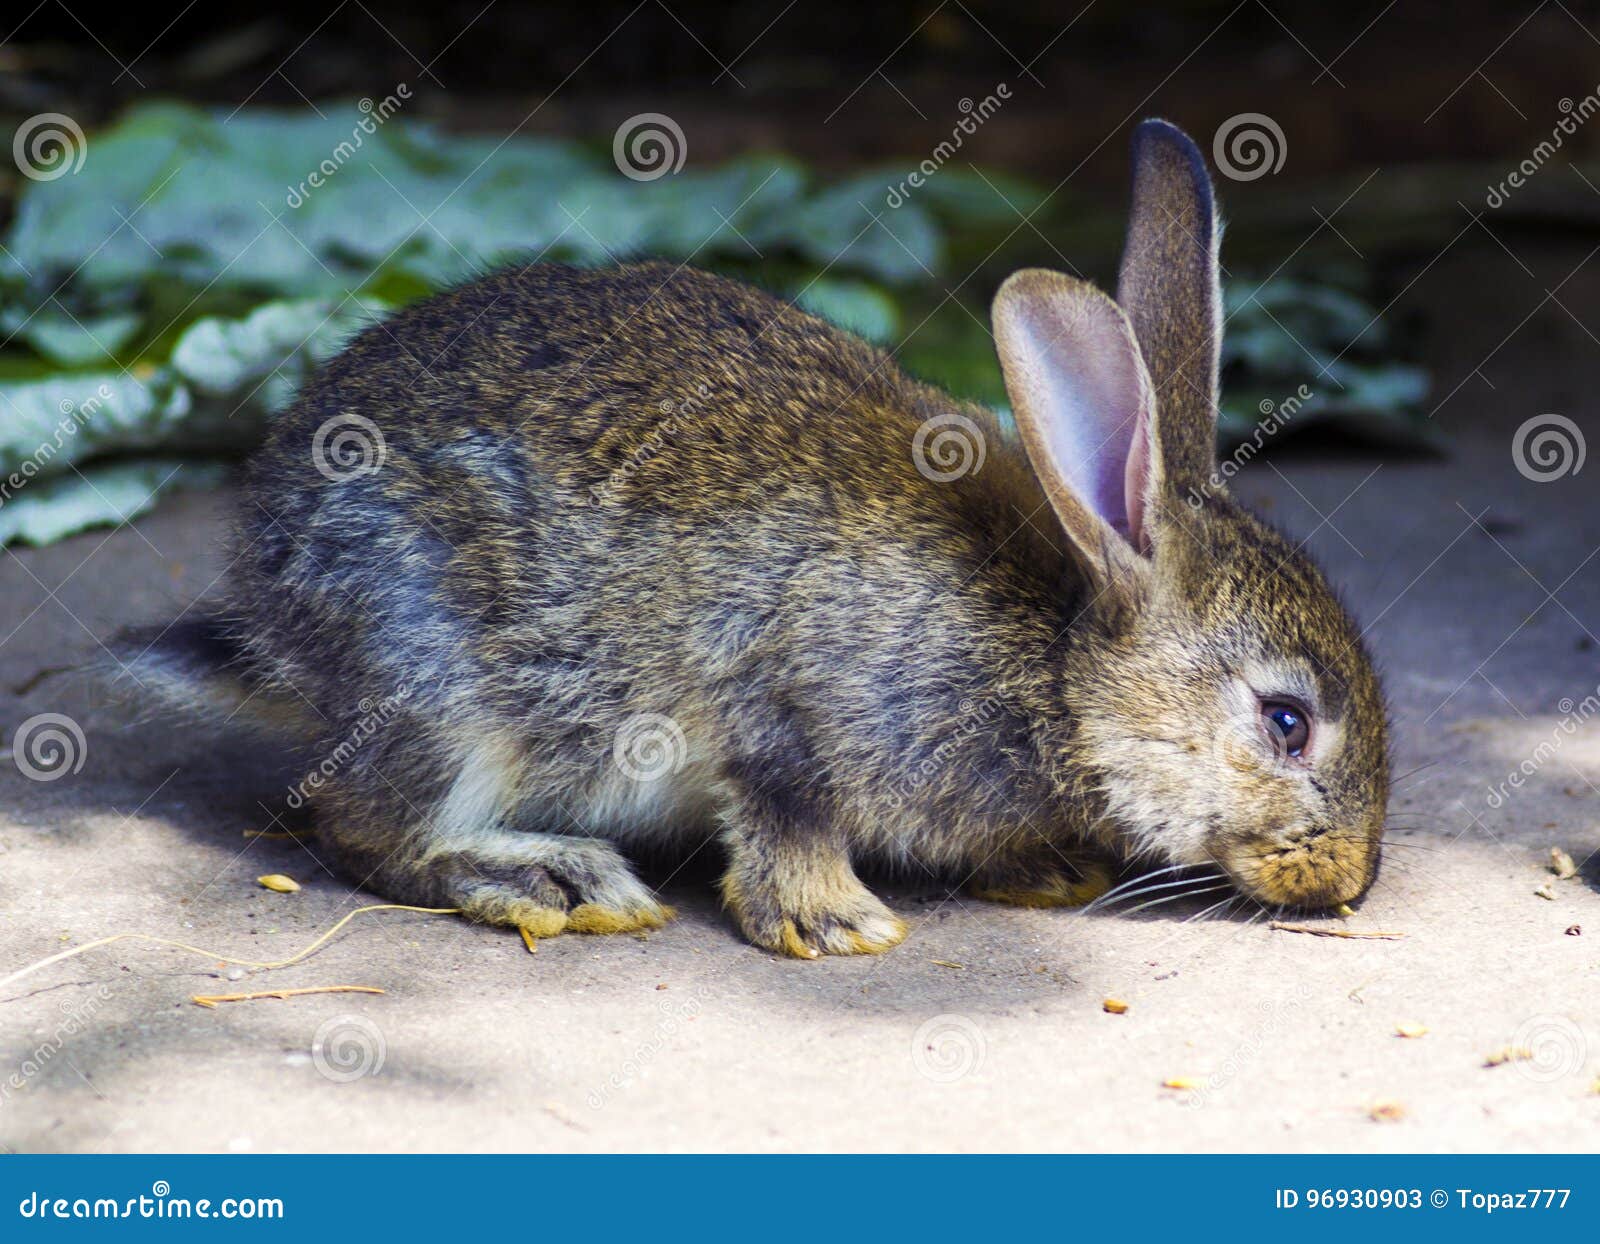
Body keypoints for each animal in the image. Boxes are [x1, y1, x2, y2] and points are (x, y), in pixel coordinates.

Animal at [113, 119, 1389, 957]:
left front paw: (1043, 869)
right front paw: (836, 921)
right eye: (1286, 721)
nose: (1351, 880)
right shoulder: (790, 706)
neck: (1058, 657)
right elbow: (784, 813)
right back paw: (555, 876)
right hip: (441, 684)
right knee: (366, 826)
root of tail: (275, 619)